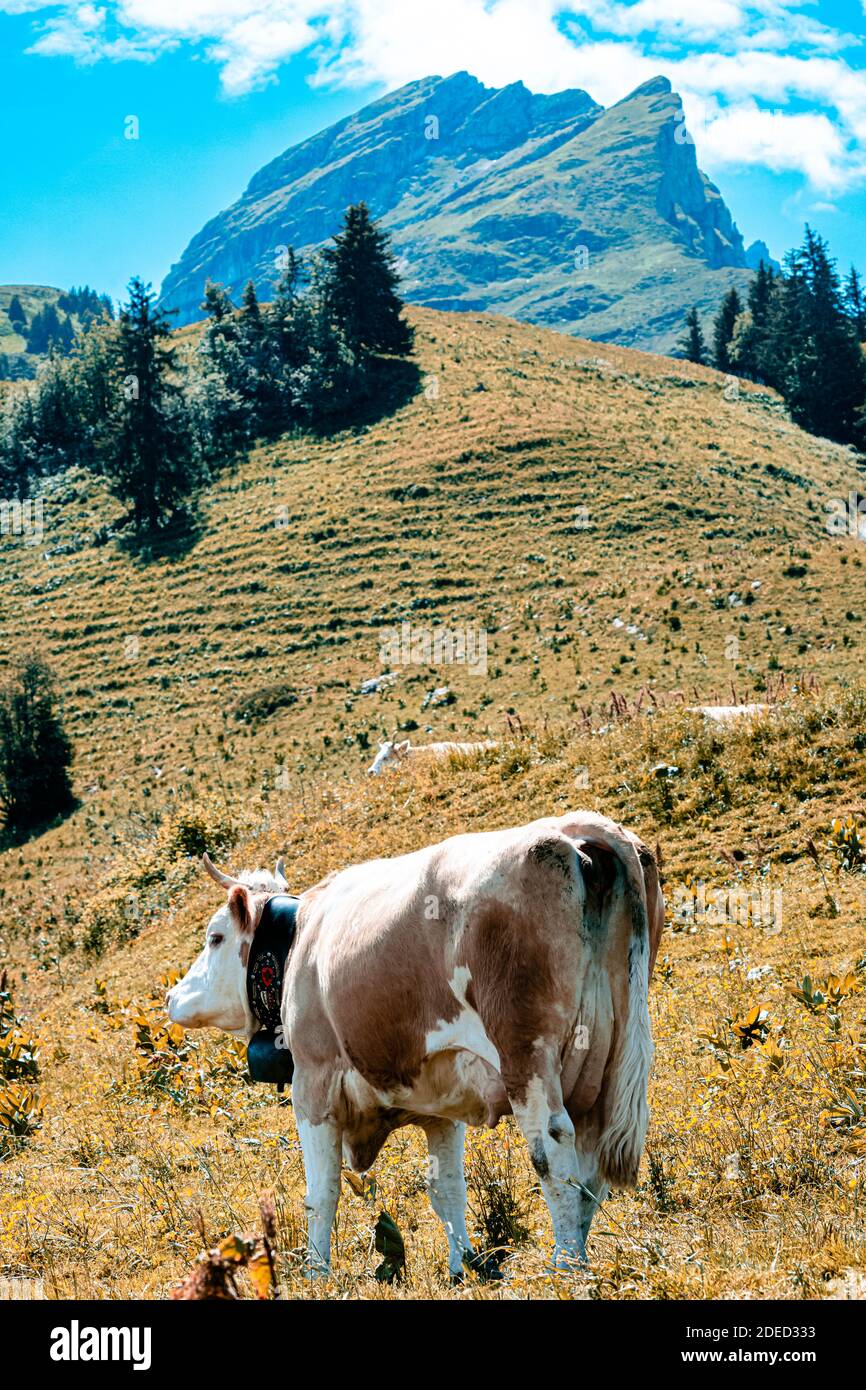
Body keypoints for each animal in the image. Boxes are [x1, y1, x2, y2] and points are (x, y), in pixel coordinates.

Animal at [166, 812, 664, 1279]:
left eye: (215, 937)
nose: (172, 997)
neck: (300, 945)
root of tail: (574, 829)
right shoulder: (441, 1101)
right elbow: (447, 1189)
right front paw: (463, 1266)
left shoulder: (313, 1082)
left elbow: (321, 1192)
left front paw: (316, 1273)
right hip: (608, 1060)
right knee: (591, 1163)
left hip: (527, 1052)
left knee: (553, 1148)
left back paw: (565, 1264)